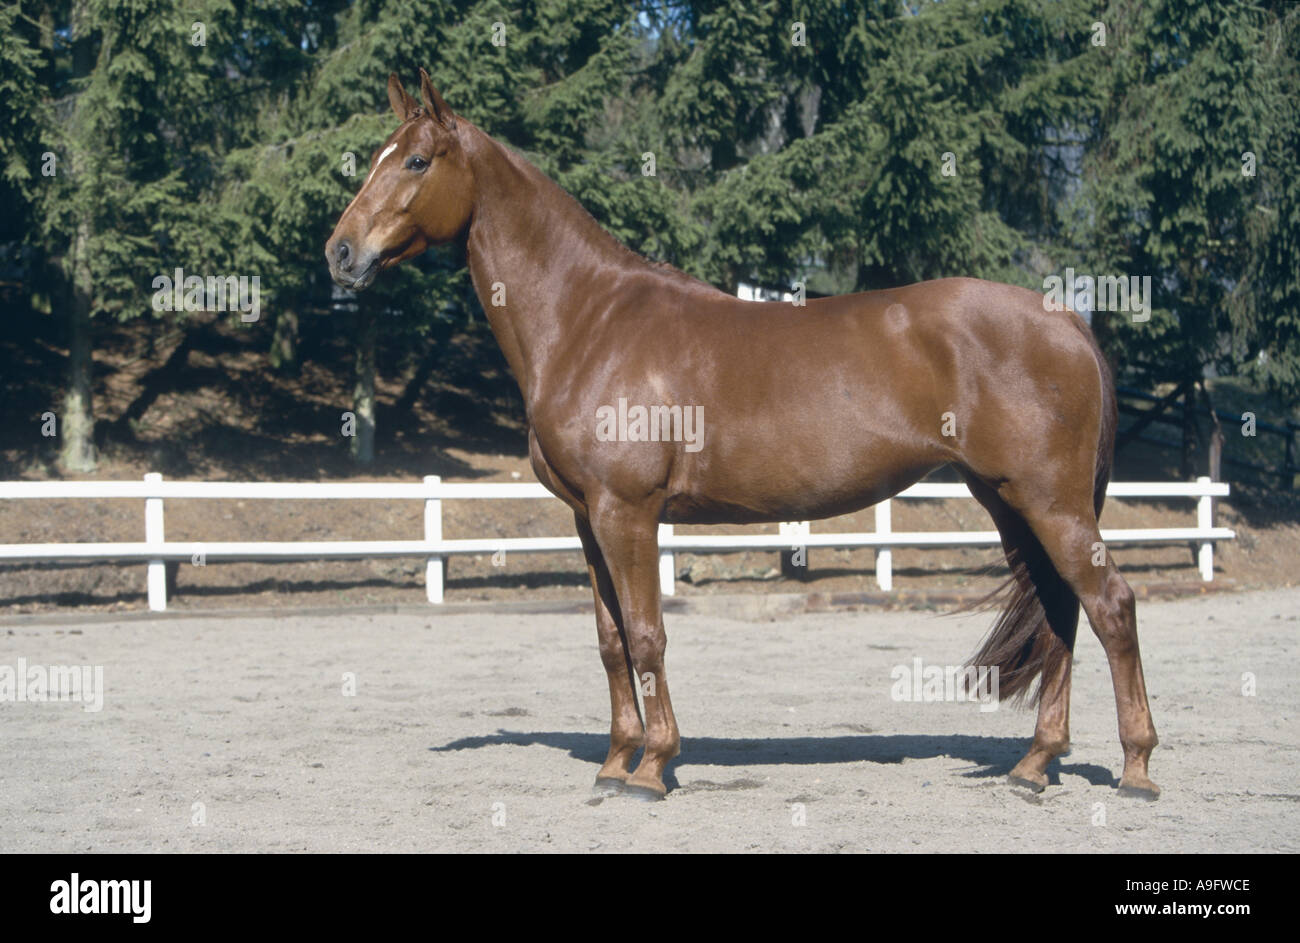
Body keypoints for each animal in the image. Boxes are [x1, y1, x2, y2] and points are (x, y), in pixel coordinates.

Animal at [325, 70, 1159, 802]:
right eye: (377, 156)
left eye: (416, 160)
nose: (340, 252)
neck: (588, 318)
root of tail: (1068, 320)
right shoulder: (587, 516)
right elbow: (610, 640)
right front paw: (614, 762)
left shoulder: (628, 512)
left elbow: (648, 634)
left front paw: (651, 768)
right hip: (1009, 500)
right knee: (1061, 609)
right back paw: (1034, 764)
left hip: (1050, 501)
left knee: (1112, 606)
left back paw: (1136, 769)